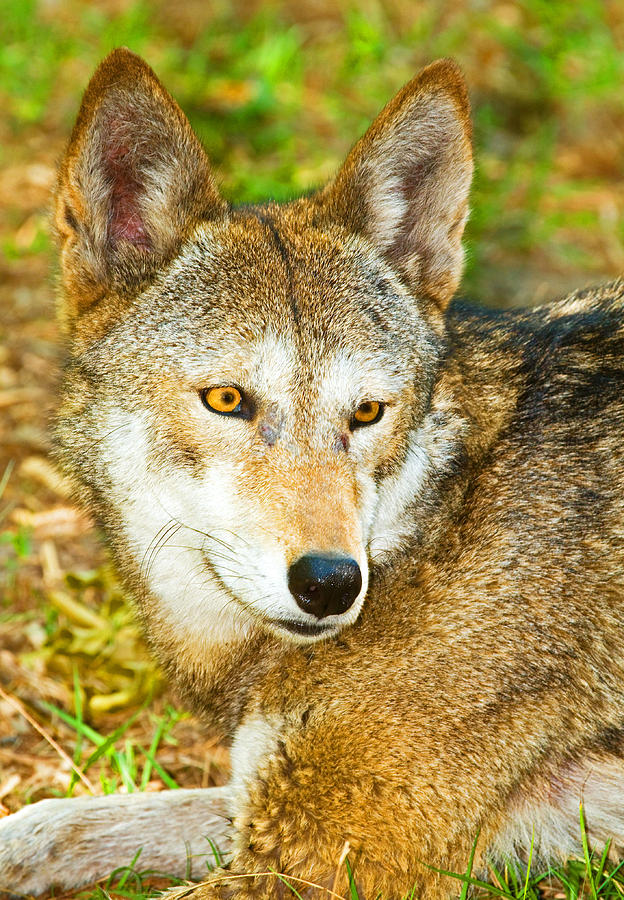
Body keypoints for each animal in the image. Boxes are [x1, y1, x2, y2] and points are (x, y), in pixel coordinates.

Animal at [1, 48, 624, 900]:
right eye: (227, 399)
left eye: (366, 413)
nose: (330, 584)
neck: (439, 527)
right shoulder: (269, 808)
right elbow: (51, 823)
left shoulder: (325, 861)